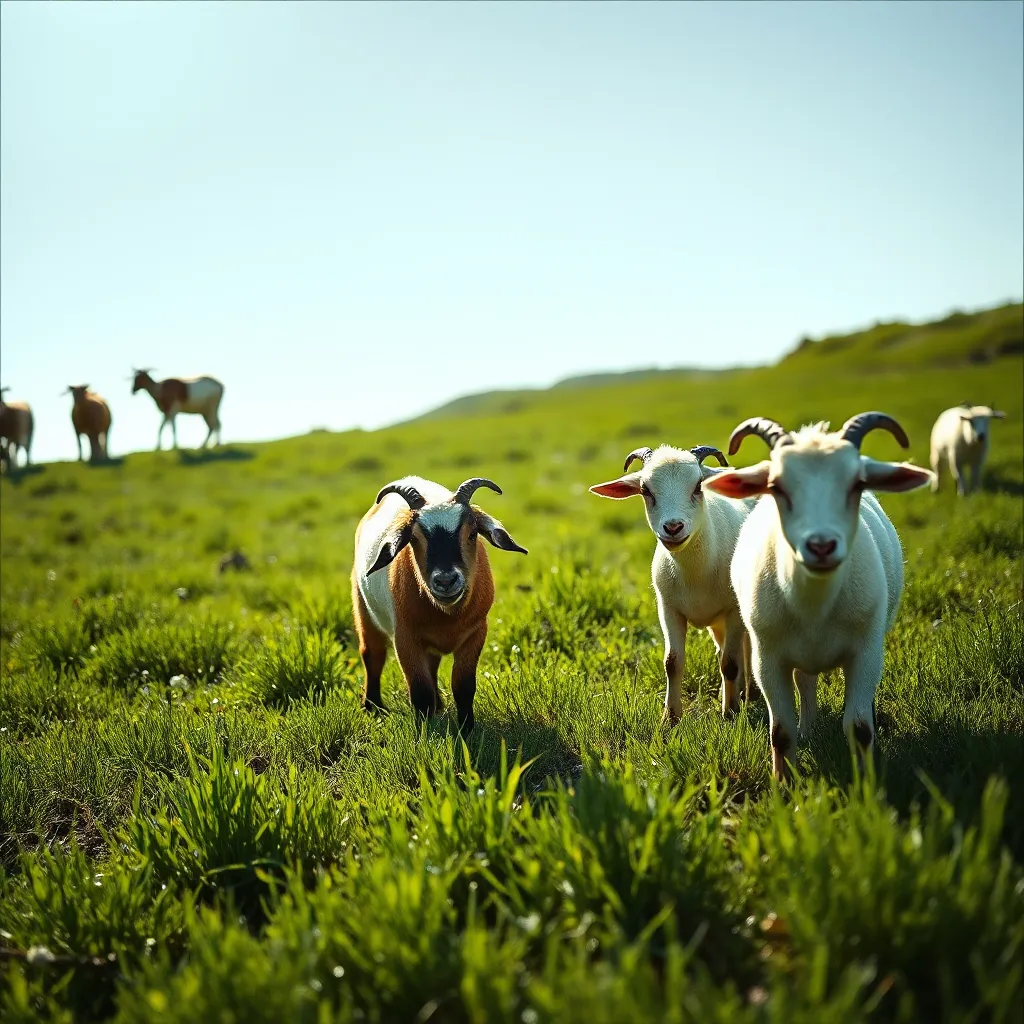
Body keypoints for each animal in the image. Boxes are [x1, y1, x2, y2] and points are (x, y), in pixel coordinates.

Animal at [352, 476, 527, 731]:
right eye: (413, 538)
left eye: (473, 533)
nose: (446, 581)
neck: (447, 614)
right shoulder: (405, 639)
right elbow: (420, 691)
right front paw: (424, 733)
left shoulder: (476, 633)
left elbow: (464, 686)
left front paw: (466, 730)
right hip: (362, 607)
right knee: (372, 653)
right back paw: (373, 707)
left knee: (431, 663)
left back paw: (437, 706)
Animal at [591, 444, 753, 720]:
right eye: (645, 490)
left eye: (698, 485)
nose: (674, 527)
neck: (695, 572)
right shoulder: (668, 609)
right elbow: (673, 663)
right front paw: (670, 717)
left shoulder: (733, 609)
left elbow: (730, 664)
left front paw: (730, 714)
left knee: (747, 648)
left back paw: (749, 693)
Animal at [703, 413, 933, 780]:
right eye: (776, 487)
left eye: (857, 484)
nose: (821, 546)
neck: (815, 604)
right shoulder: (768, 659)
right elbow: (781, 732)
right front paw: (783, 783)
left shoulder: (866, 651)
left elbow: (859, 728)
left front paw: (865, 783)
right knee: (806, 683)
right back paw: (808, 728)